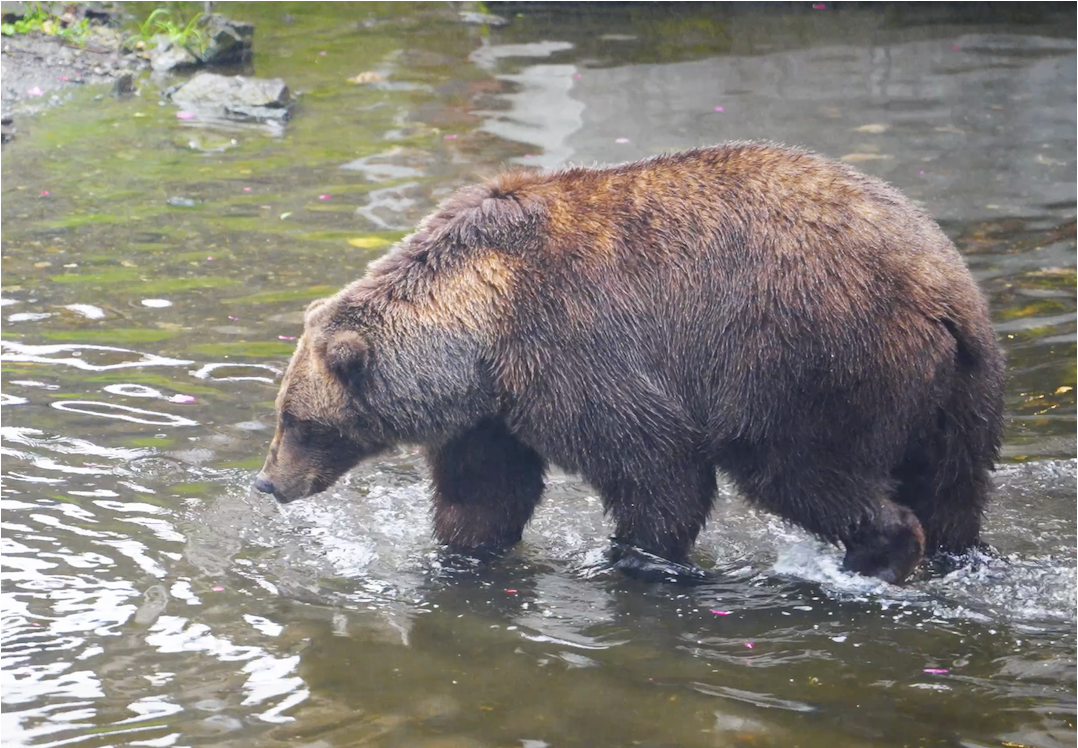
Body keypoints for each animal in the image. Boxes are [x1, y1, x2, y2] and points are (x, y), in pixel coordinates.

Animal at [253, 143, 1006, 584]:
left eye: (299, 422)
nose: (268, 483)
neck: (479, 334)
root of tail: (944, 291)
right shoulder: (492, 413)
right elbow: (485, 491)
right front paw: (461, 550)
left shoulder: (576, 345)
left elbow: (657, 469)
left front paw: (631, 555)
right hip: (961, 389)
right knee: (953, 486)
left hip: (814, 362)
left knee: (802, 469)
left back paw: (875, 555)